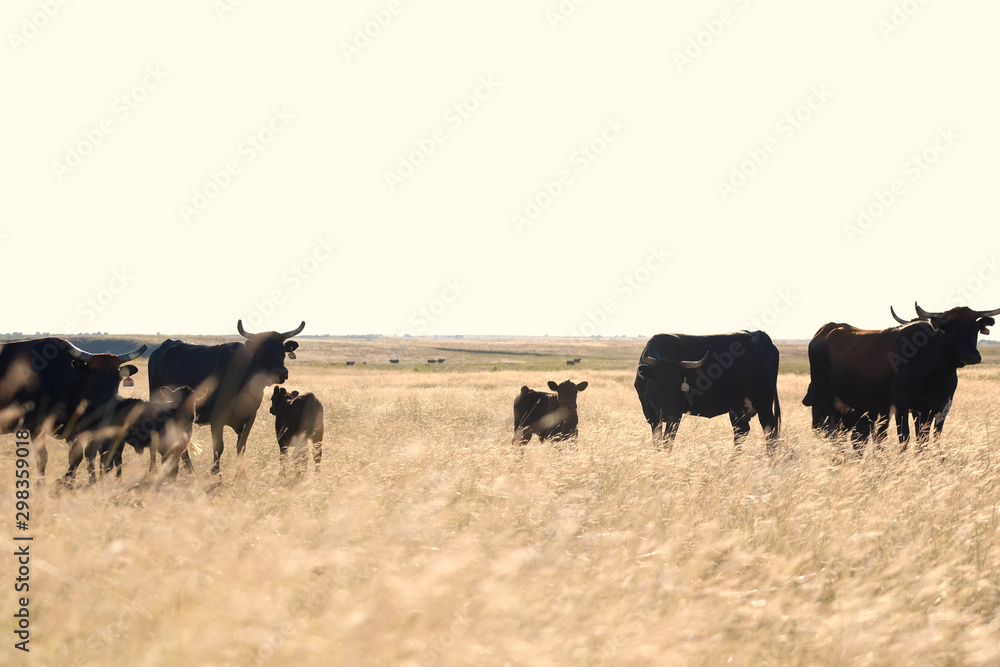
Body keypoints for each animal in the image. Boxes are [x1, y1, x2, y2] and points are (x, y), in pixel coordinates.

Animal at [0, 337, 146, 475]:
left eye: (119, 379)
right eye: (95, 377)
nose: (112, 403)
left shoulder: (75, 429)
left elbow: (78, 457)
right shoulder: (36, 426)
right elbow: (42, 458)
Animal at [63, 386, 197, 484]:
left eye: (193, 400)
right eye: (178, 400)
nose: (185, 414)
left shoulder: (180, 445)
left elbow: (179, 461)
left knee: (110, 458)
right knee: (103, 457)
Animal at [148, 320, 304, 474]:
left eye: (282, 351)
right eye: (263, 351)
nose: (282, 372)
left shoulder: (250, 418)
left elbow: (241, 447)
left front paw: (240, 474)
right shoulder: (217, 418)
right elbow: (218, 448)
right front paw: (216, 474)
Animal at [634, 331, 781, 453]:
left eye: (677, 388)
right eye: (658, 386)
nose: (669, 415)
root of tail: (760, 336)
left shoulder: (677, 416)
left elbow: (668, 442)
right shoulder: (651, 416)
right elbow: (657, 442)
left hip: (763, 403)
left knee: (770, 430)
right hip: (738, 408)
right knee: (742, 431)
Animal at [805, 303, 998, 450]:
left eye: (975, 329)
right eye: (953, 330)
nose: (973, 356)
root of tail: (825, 329)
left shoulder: (932, 407)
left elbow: (923, 439)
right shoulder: (901, 405)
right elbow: (904, 438)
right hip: (824, 399)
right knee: (831, 432)